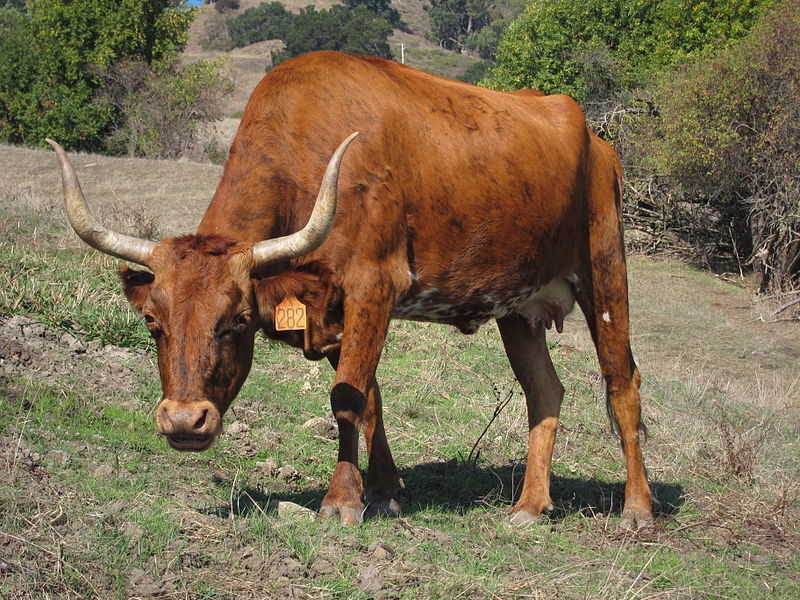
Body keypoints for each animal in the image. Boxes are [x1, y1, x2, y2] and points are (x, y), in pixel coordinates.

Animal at [48, 51, 653, 528]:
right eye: (153, 323)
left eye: (236, 321)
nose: (183, 421)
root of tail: (596, 138)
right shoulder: (335, 310)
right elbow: (370, 398)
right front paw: (381, 493)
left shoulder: (374, 285)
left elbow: (347, 397)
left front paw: (340, 501)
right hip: (519, 306)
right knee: (544, 391)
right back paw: (530, 505)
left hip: (604, 272)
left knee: (621, 381)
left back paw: (638, 507)